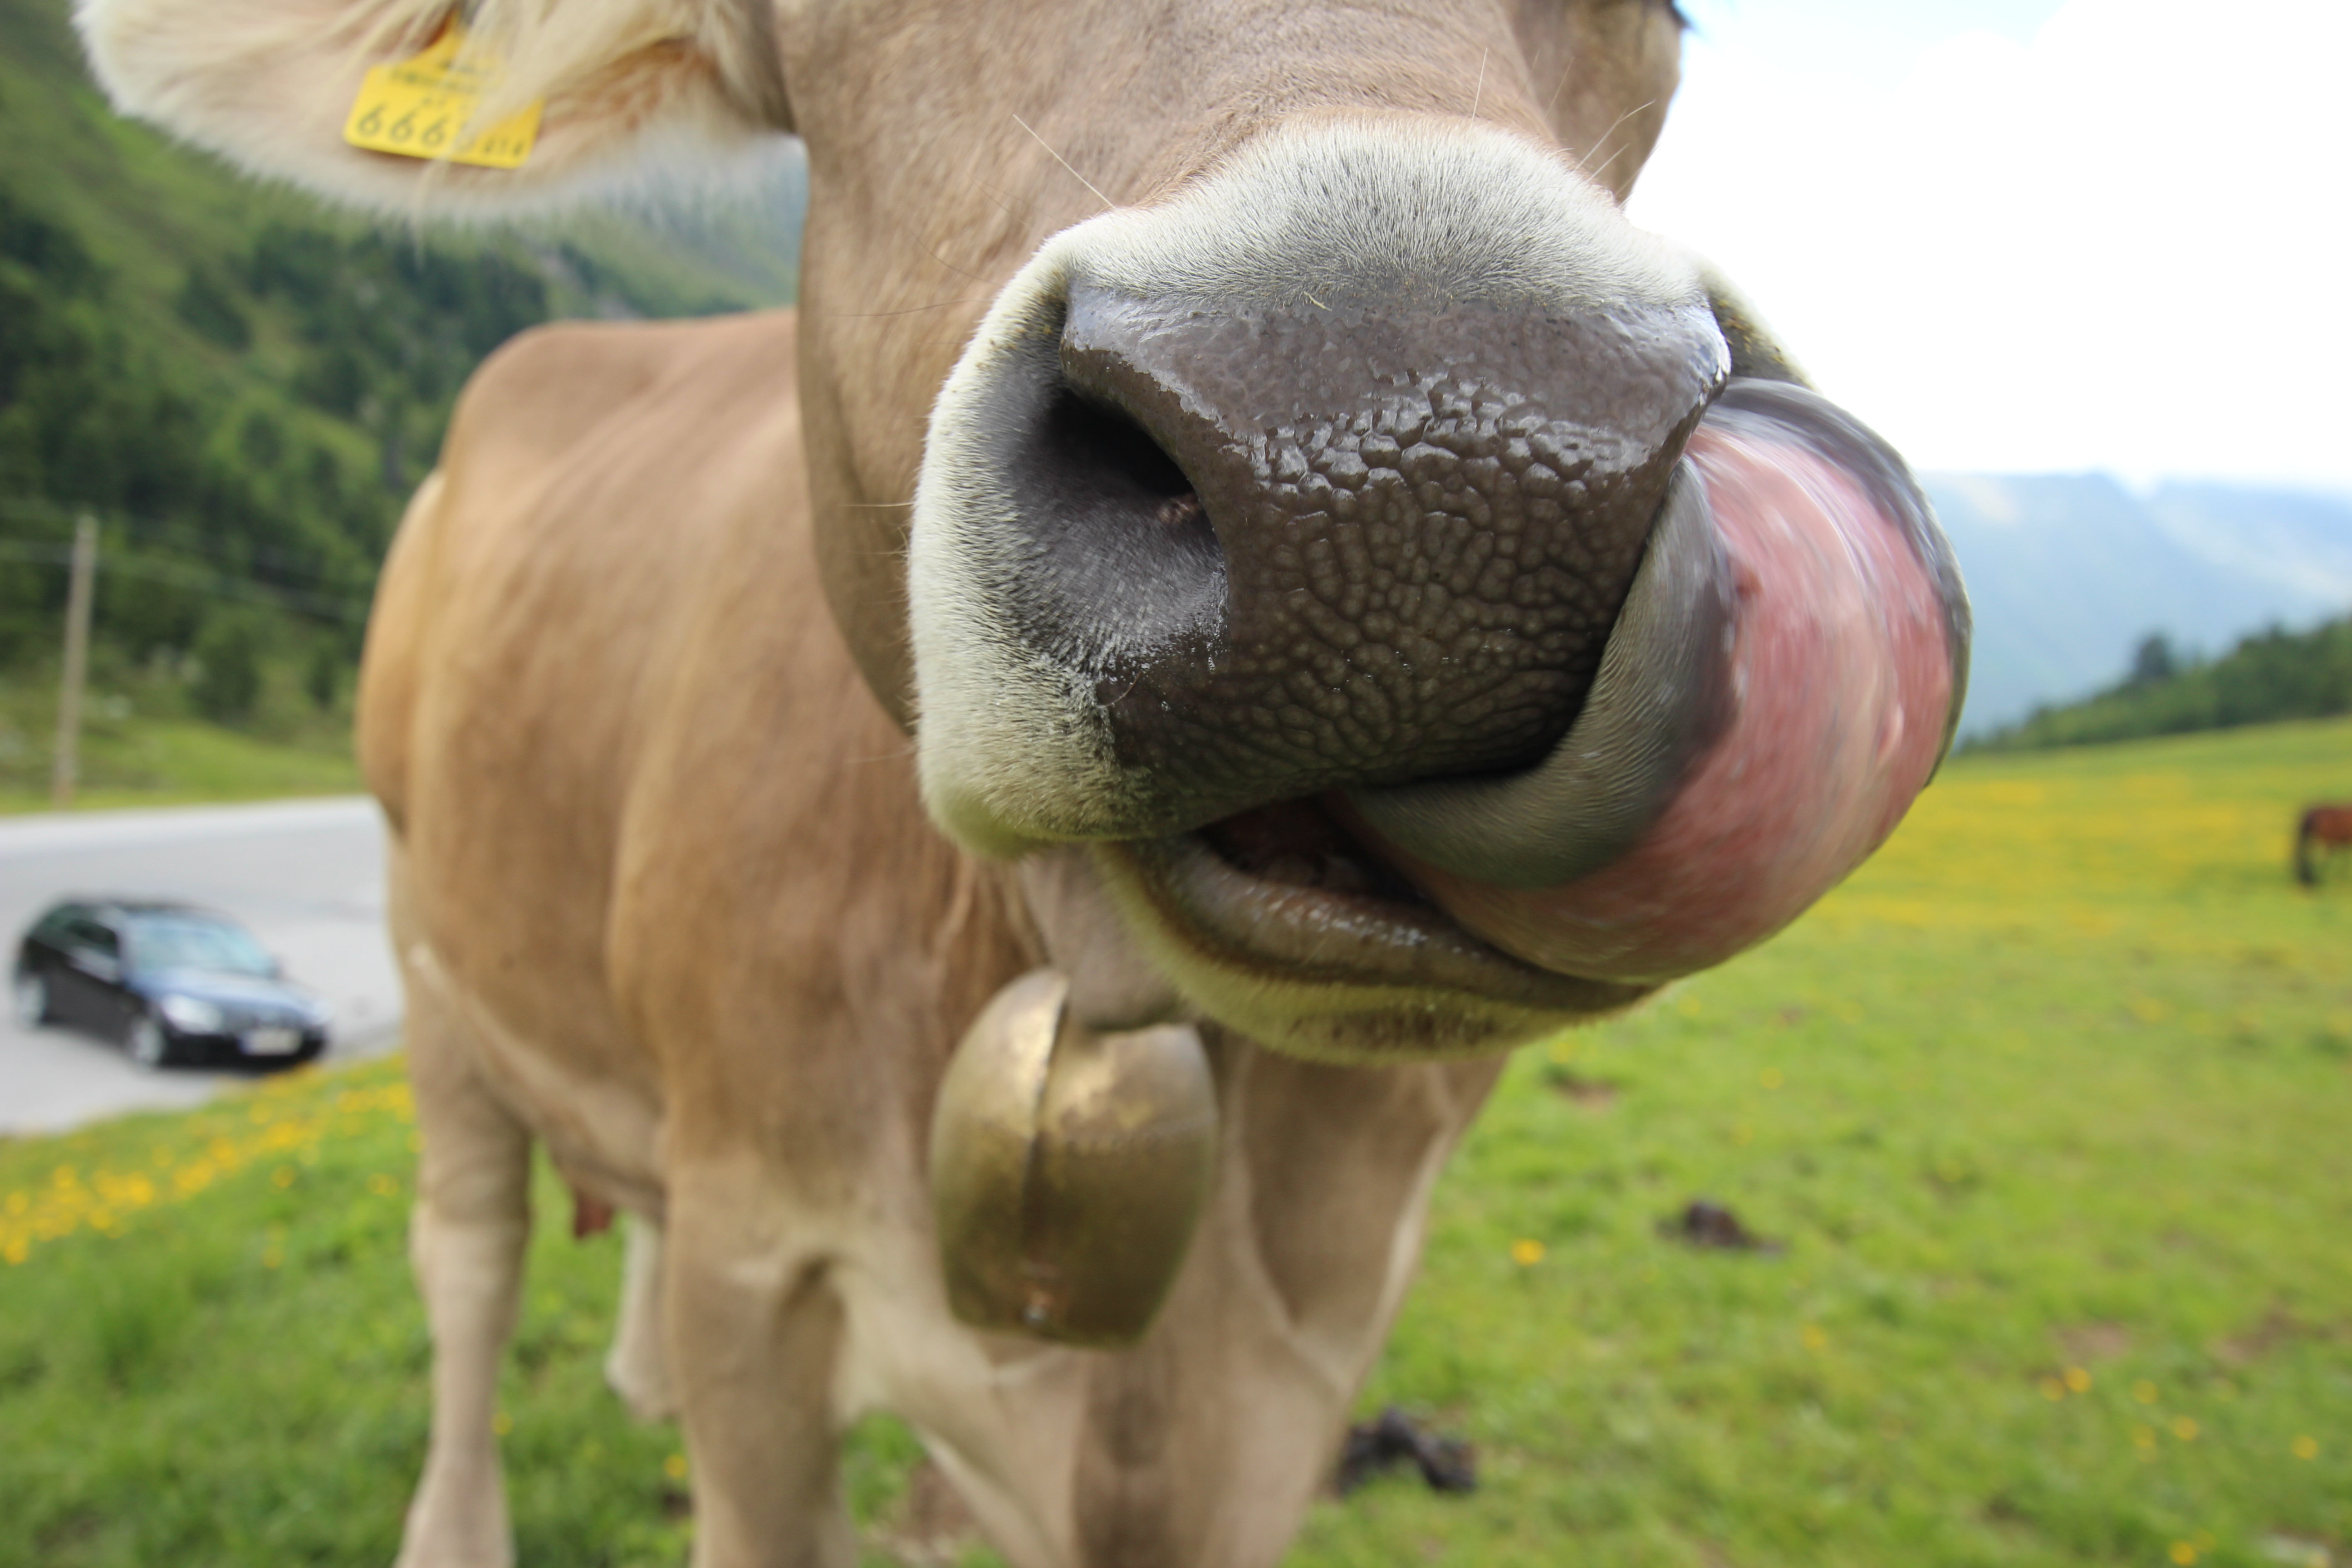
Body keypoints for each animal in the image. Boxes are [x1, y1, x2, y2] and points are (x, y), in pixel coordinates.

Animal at [77, 1, 1969, 1564]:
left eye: (1672, 11)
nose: (1430, 471)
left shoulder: (1297, 1371)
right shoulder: (756, 1273)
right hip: (430, 944)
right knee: (467, 1263)